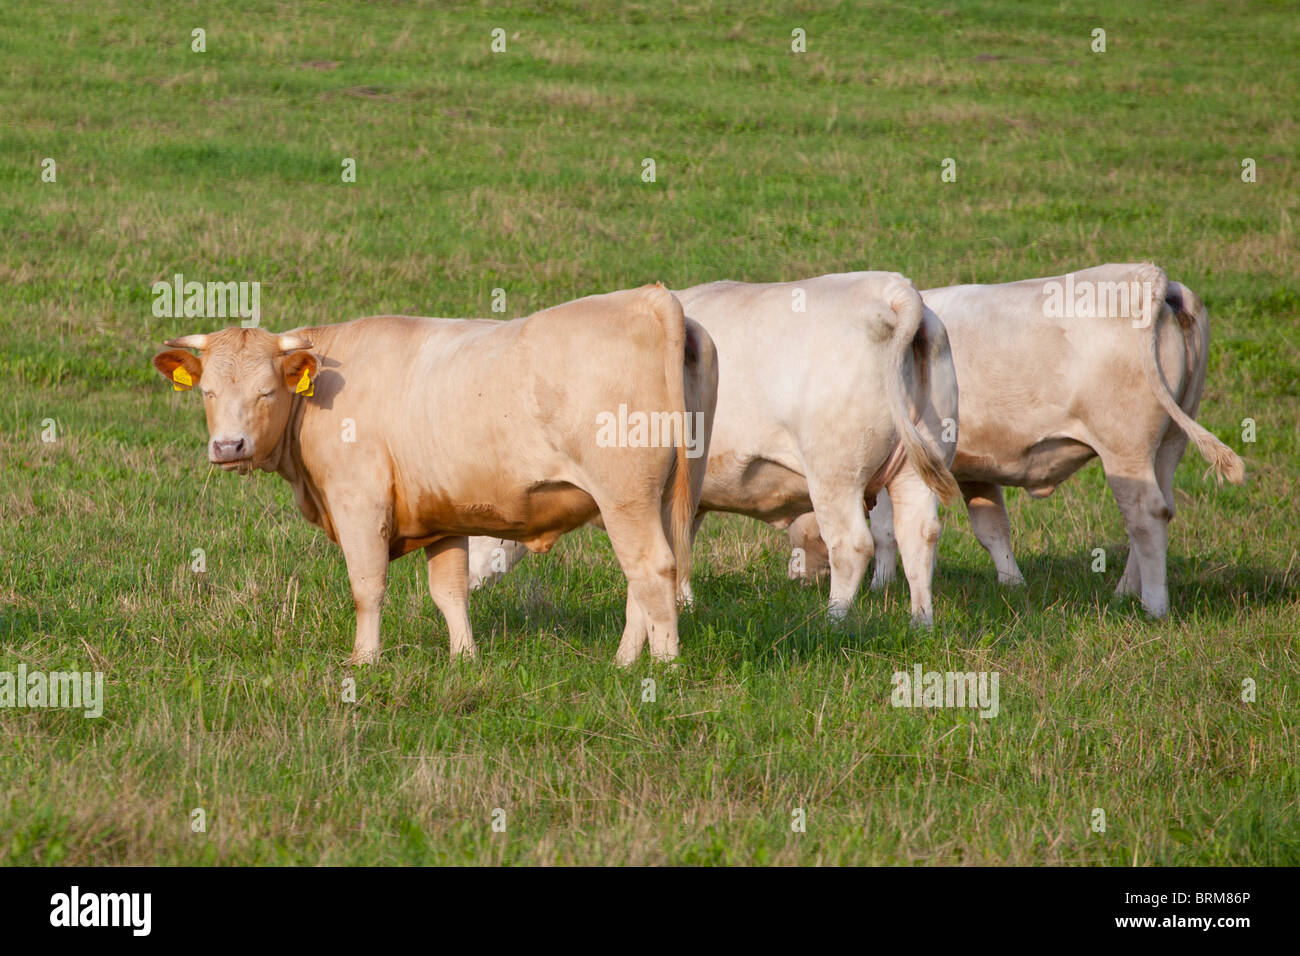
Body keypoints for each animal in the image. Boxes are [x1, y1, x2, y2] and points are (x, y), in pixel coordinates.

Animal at [152, 283, 718, 666]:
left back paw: (661, 667)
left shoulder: (359, 503)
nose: (228, 446)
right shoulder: (443, 514)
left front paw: (364, 661)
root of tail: (647, 297)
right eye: (208, 392)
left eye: (266, 391)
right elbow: (450, 592)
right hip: (658, 496)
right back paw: (624, 661)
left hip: (626, 496)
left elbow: (367, 586)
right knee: (642, 579)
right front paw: (463, 659)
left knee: (652, 569)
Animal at [470, 272, 961, 624]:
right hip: (917, 469)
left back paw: (834, 621)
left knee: (853, 546)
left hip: (835, 475)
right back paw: (921, 622)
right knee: (919, 537)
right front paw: (683, 605)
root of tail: (893, 292)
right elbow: (681, 542)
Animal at [785, 263, 1246, 619]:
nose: (794, 577)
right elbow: (993, 529)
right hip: (1169, 443)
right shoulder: (974, 471)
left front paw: (881, 585)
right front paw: (1012, 584)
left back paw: (1152, 606)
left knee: (1146, 517)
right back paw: (1124, 593)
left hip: (1125, 447)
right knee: (1158, 511)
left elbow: (884, 530)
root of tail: (1150, 277)